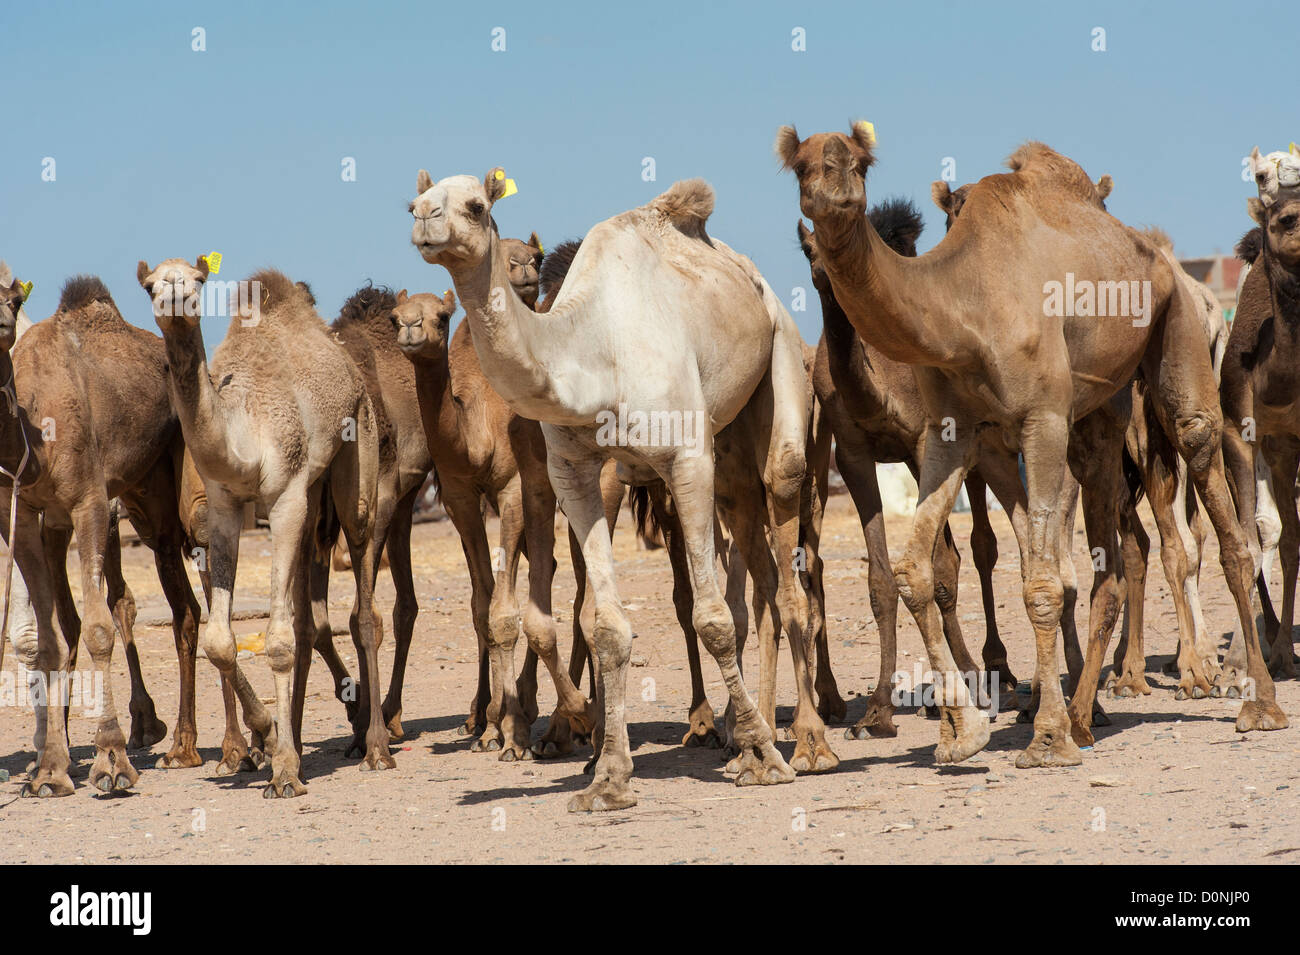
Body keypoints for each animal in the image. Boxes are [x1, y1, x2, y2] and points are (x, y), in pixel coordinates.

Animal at [0, 274, 208, 796]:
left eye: (13, 297)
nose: (4, 317)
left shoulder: (89, 503)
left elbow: (97, 628)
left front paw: (111, 760)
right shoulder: (28, 515)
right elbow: (51, 638)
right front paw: (50, 770)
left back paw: (234, 749)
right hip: (145, 502)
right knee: (185, 607)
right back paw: (183, 745)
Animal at [139, 258, 386, 797]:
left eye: (197, 279)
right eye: (149, 285)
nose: (174, 297)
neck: (244, 431)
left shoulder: (287, 497)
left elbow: (276, 641)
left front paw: (286, 770)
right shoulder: (224, 506)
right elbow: (219, 640)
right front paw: (270, 739)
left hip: (358, 445)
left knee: (364, 592)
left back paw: (376, 747)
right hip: (314, 491)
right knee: (309, 619)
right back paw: (299, 736)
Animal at [411, 169, 809, 809]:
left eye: (474, 206)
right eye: (413, 204)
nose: (427, 222)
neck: (593, 353)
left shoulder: (686, 458)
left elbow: (713, 618)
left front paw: (767, 756)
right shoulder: (573, 471)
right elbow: (606, 626)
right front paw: (608, 778)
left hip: (782, 347)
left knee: (784, 489)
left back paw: (806, 746)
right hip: (729, 443)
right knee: (759, 557)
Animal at [778, 124, 1284, 768]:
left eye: (858, 161)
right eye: (800, 165)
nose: (831, 187)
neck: (965, 304)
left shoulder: (1040, 420)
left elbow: (1043, 583)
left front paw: (1044, 739)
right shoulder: (949, 432)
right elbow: (914, 569)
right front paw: (960, 730)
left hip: (1176, 335)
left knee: (1216, 504)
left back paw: (1254, 702)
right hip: (1099, 419)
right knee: (1113, 559)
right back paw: (1086, 714)